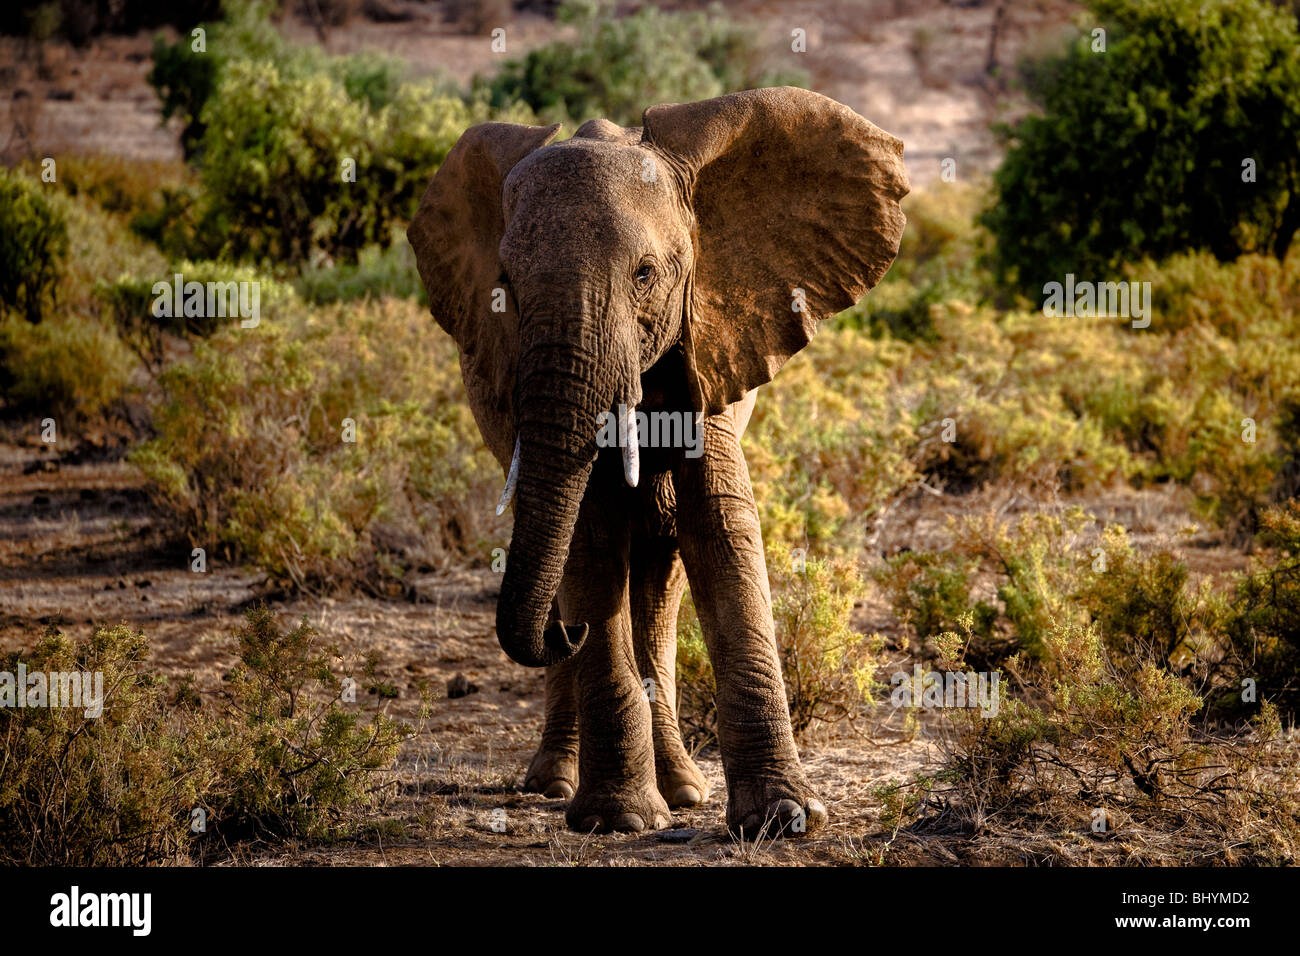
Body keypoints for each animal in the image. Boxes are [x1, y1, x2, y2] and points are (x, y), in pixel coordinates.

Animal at [407, 86, 907, 837]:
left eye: (645, 275)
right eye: (507, 288)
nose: (563, 632)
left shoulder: (712, 340)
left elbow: (722, 528)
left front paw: (783, 818)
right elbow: (589, 539)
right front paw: (618, 820)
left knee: (661, 569)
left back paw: (684, 791)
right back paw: (557, 784)